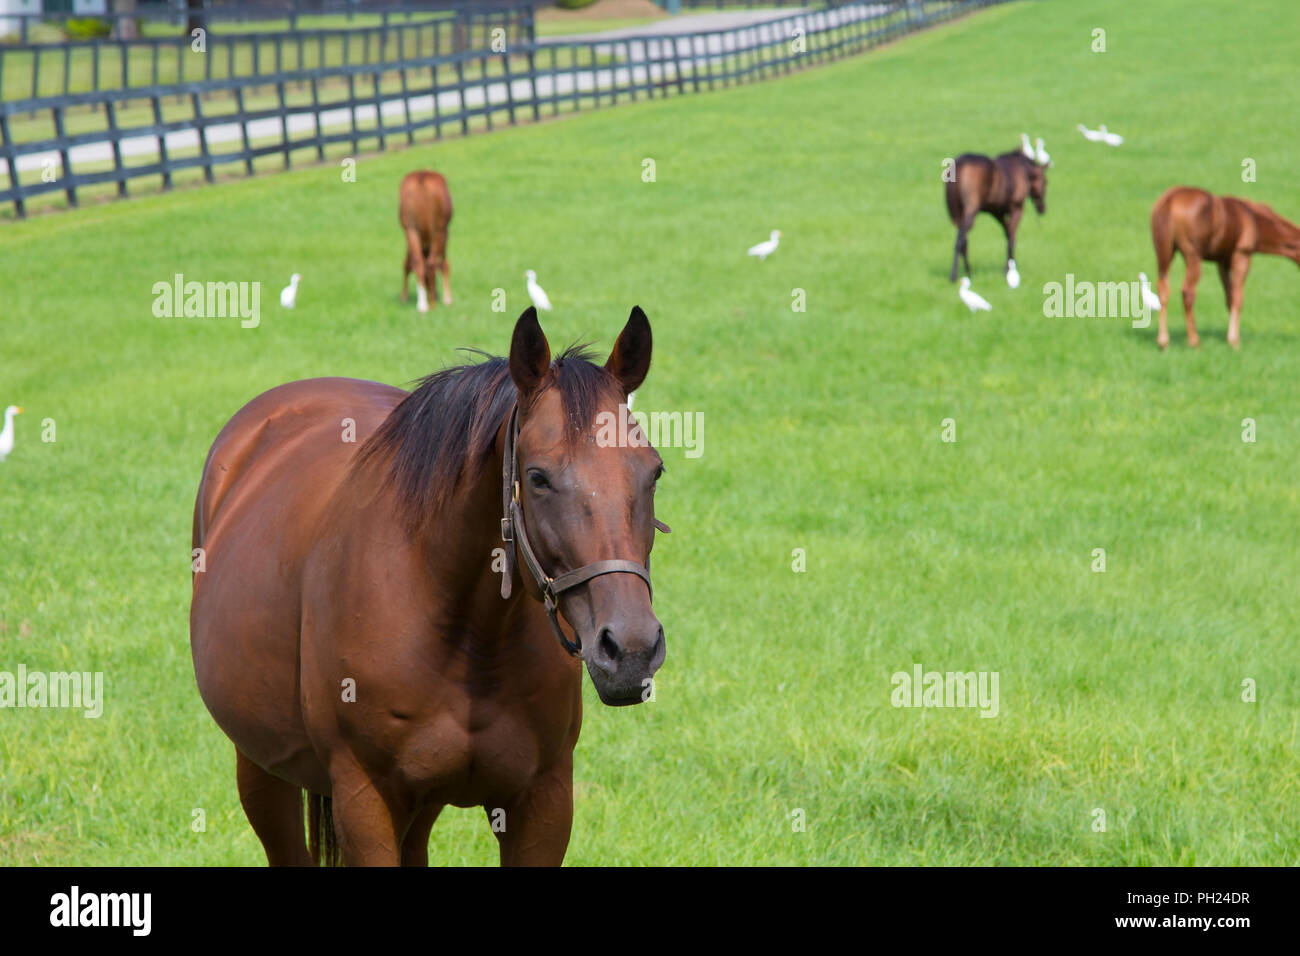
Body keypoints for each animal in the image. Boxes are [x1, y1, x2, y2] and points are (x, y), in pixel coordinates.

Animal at [190, 306, 670, 866]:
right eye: (537, 477)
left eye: (654, 471)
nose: (631, 649)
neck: (465, 631)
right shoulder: (365, 801)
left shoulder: (542, 802)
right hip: (261, 768)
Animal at [398, 170, 453, 313]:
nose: (436, 295)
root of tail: (421, 177)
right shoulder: (445, 231)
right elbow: (444, 264)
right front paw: (447, 299)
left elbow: (408, 264)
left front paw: (404, 298)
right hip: (439, 229)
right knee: (431, 263)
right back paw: (432, 304)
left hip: (410, 228)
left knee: (418, 263)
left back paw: (422, 304)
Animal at [945, 148, 1048, 282]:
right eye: (1046, 182)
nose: (1042, 208)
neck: (1023, 170)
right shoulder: (1017, 209)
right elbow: (1012, 238)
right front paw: (1009, 270)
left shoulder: (997, 212)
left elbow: (1008, 234)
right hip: (971, 211)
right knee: (960, 240)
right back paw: (955, 275)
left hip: (960, 213)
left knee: (964, 241)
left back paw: (968, 272)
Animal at [1150, 186, 1300, 349]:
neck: (1254, 220)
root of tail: (1169, 200)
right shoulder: (1241, 257)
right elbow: (1238, 298)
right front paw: (1234, 341)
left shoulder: (1222, 262)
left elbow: (1229, 297)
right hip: (1193, 257)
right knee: (1188, 292)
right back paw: (1194, 341)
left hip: (1164, 254)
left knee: (1163, 289)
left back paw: (1163, 341)